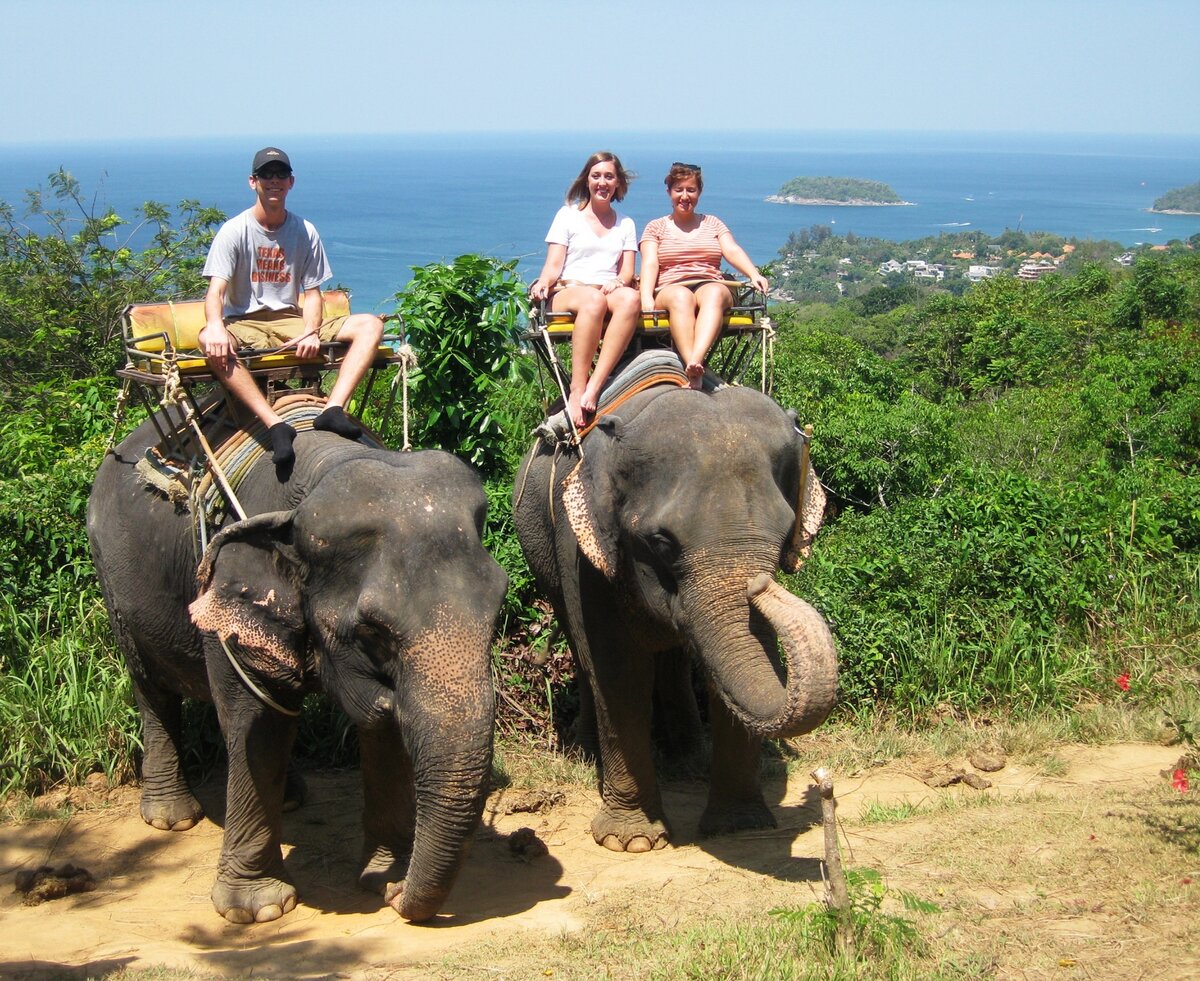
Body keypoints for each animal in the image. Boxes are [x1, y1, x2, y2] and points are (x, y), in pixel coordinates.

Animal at [87, 417, 506, 921]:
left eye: (497, 609)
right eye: (373, 632)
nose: (400, 896)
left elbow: (381, 725)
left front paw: (382, 878)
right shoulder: (225, 594)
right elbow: (257, 721)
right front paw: (258, 910)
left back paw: (290, 798)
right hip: (113, 577)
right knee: (152, 686)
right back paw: (172, 819)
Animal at [511, 381, 840, 849]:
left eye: (784, 537)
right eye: (662, 542)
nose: (760, 587)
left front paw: (740, 826)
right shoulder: (585, 550)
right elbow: (616, 670)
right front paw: (629, 841)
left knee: (675, 658)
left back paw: (689, 760)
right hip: (542, 552)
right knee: (580, 648)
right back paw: (586, 755)